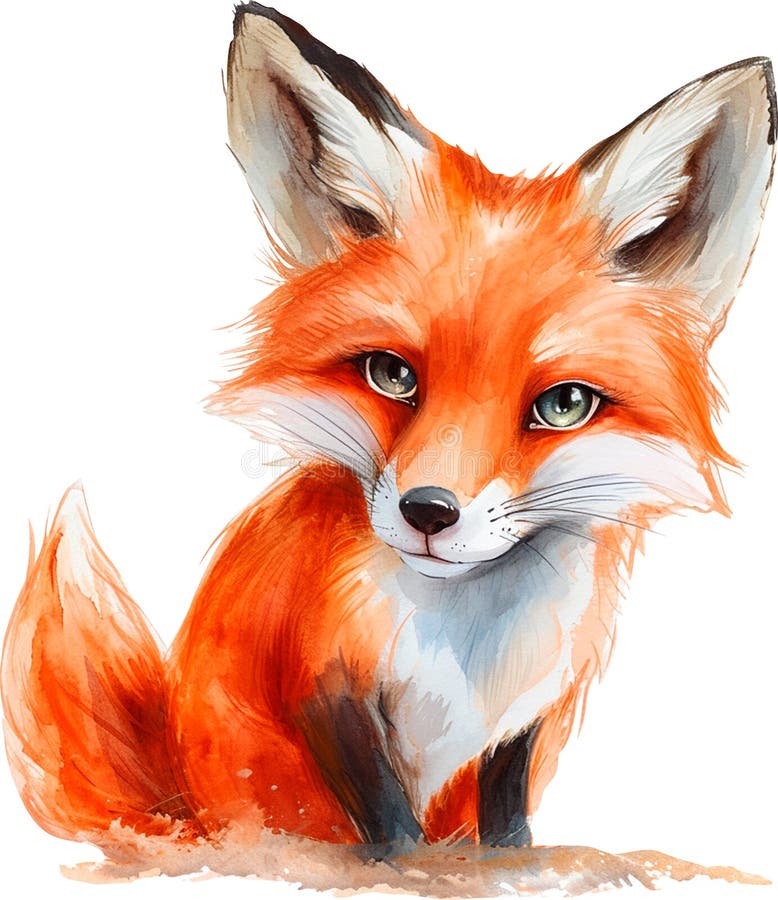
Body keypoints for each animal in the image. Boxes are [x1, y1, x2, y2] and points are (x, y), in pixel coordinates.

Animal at [1, 0, 775, 865]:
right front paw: (400, 865)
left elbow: (505, 811)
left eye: (565, 405)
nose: (429, 511)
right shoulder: (324, 683)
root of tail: (176, 796)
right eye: (391, 375)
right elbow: (387, 817)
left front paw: (509, 862)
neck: (466, 643)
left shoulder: (532, 709)